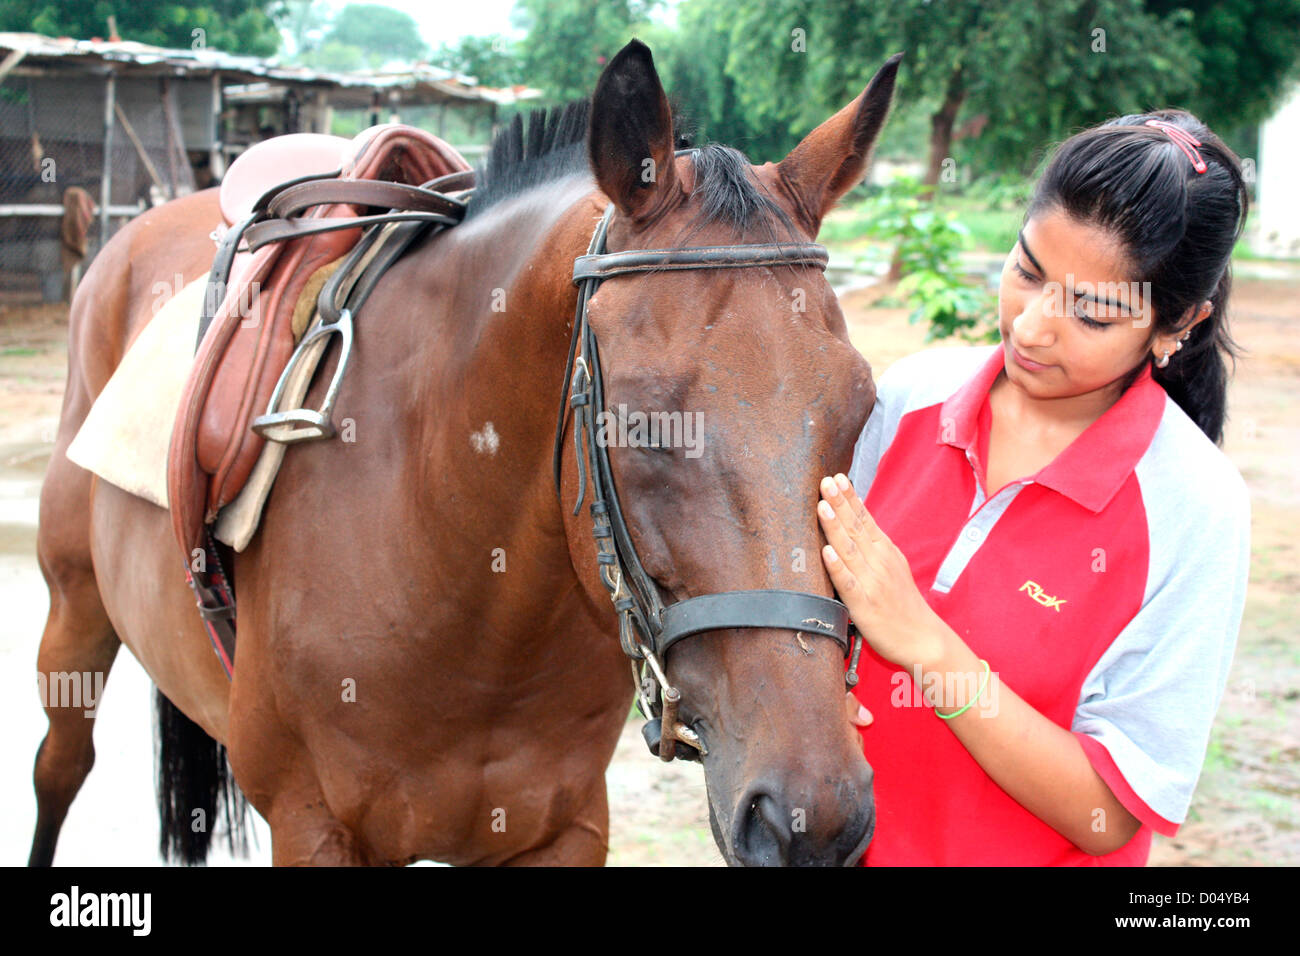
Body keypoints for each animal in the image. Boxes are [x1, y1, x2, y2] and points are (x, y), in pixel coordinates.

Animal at [29, 40, 900, 866]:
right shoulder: (315, 828)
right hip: (74, 612)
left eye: (861, 410)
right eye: (643, 424)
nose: (812, 817)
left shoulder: (564, 830)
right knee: (58, 767)